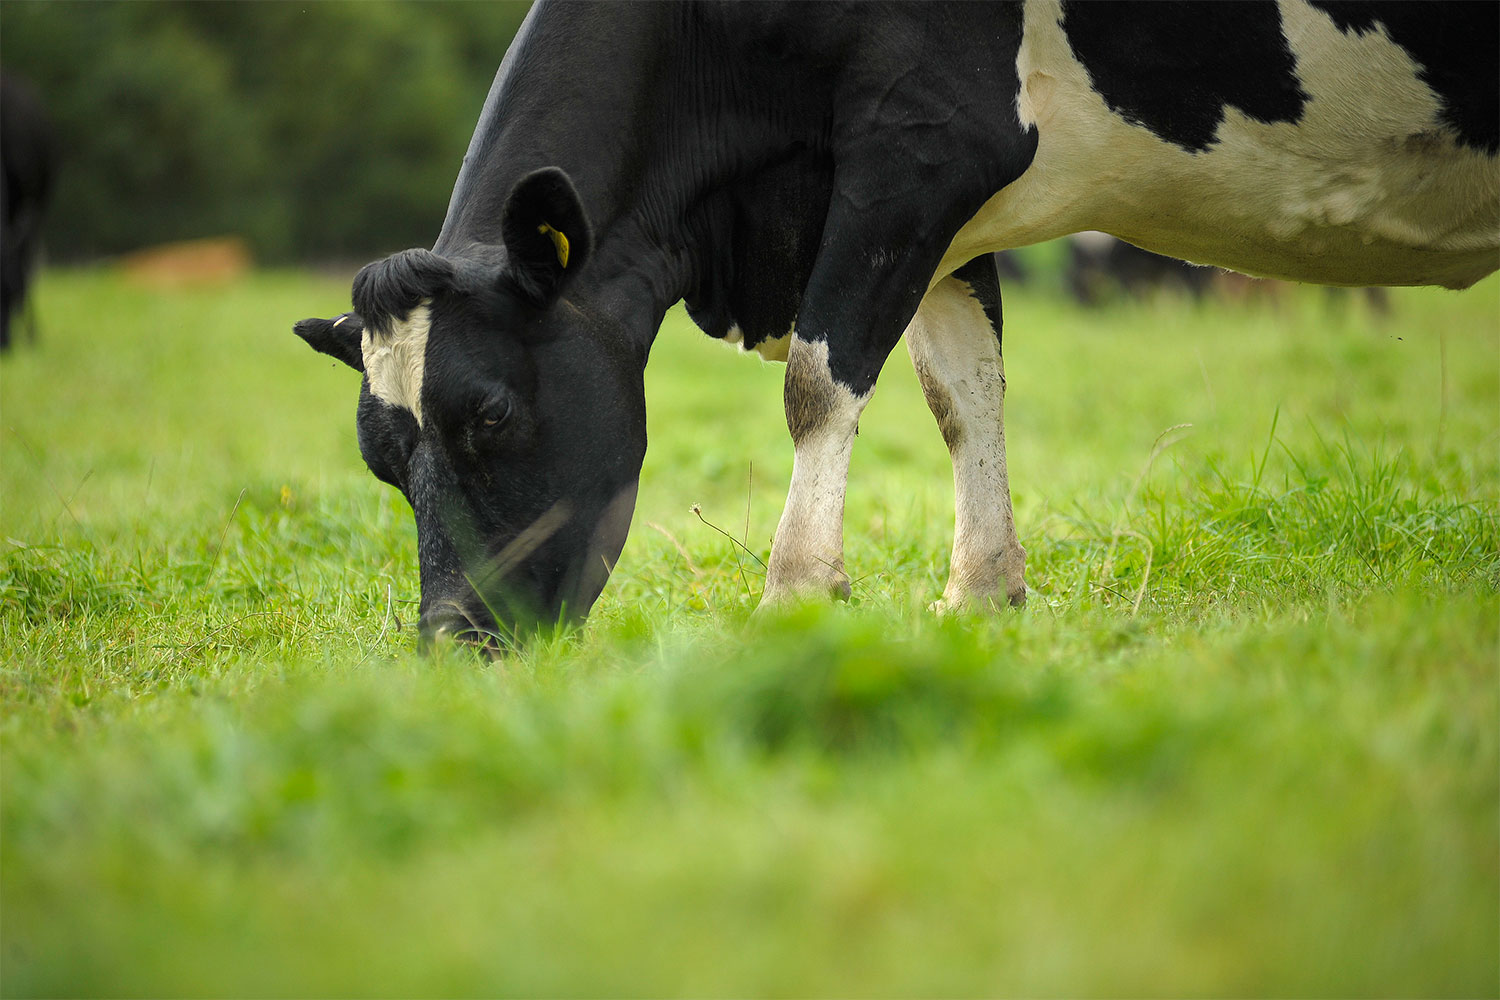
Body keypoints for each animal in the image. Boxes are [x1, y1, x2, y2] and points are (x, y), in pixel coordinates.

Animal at [294, 1, 1499, 645]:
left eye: (491, 414)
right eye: (381, 460)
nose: (451, 641)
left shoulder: (921, 145)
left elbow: (820, 384)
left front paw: (795, 594)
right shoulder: (934, 208)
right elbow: (961, 394)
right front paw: (983, 593)